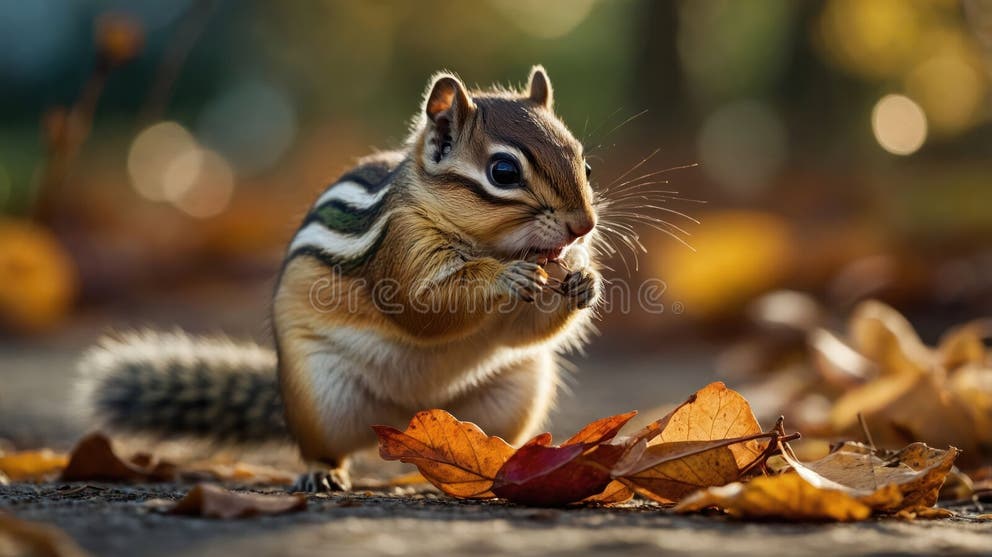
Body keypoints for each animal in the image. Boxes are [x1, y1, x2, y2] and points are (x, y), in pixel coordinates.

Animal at [78, 66, 601, 492]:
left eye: (585, 163)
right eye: (504, 171)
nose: (584, 226)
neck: (487, 245)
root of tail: (404, 418)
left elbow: (522, 332)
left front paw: (584, 282)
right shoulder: (400, 247)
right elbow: (424, 306)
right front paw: (506, 277)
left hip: (514, 395)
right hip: (319, 398)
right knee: (324, 448)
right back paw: (322, 473)